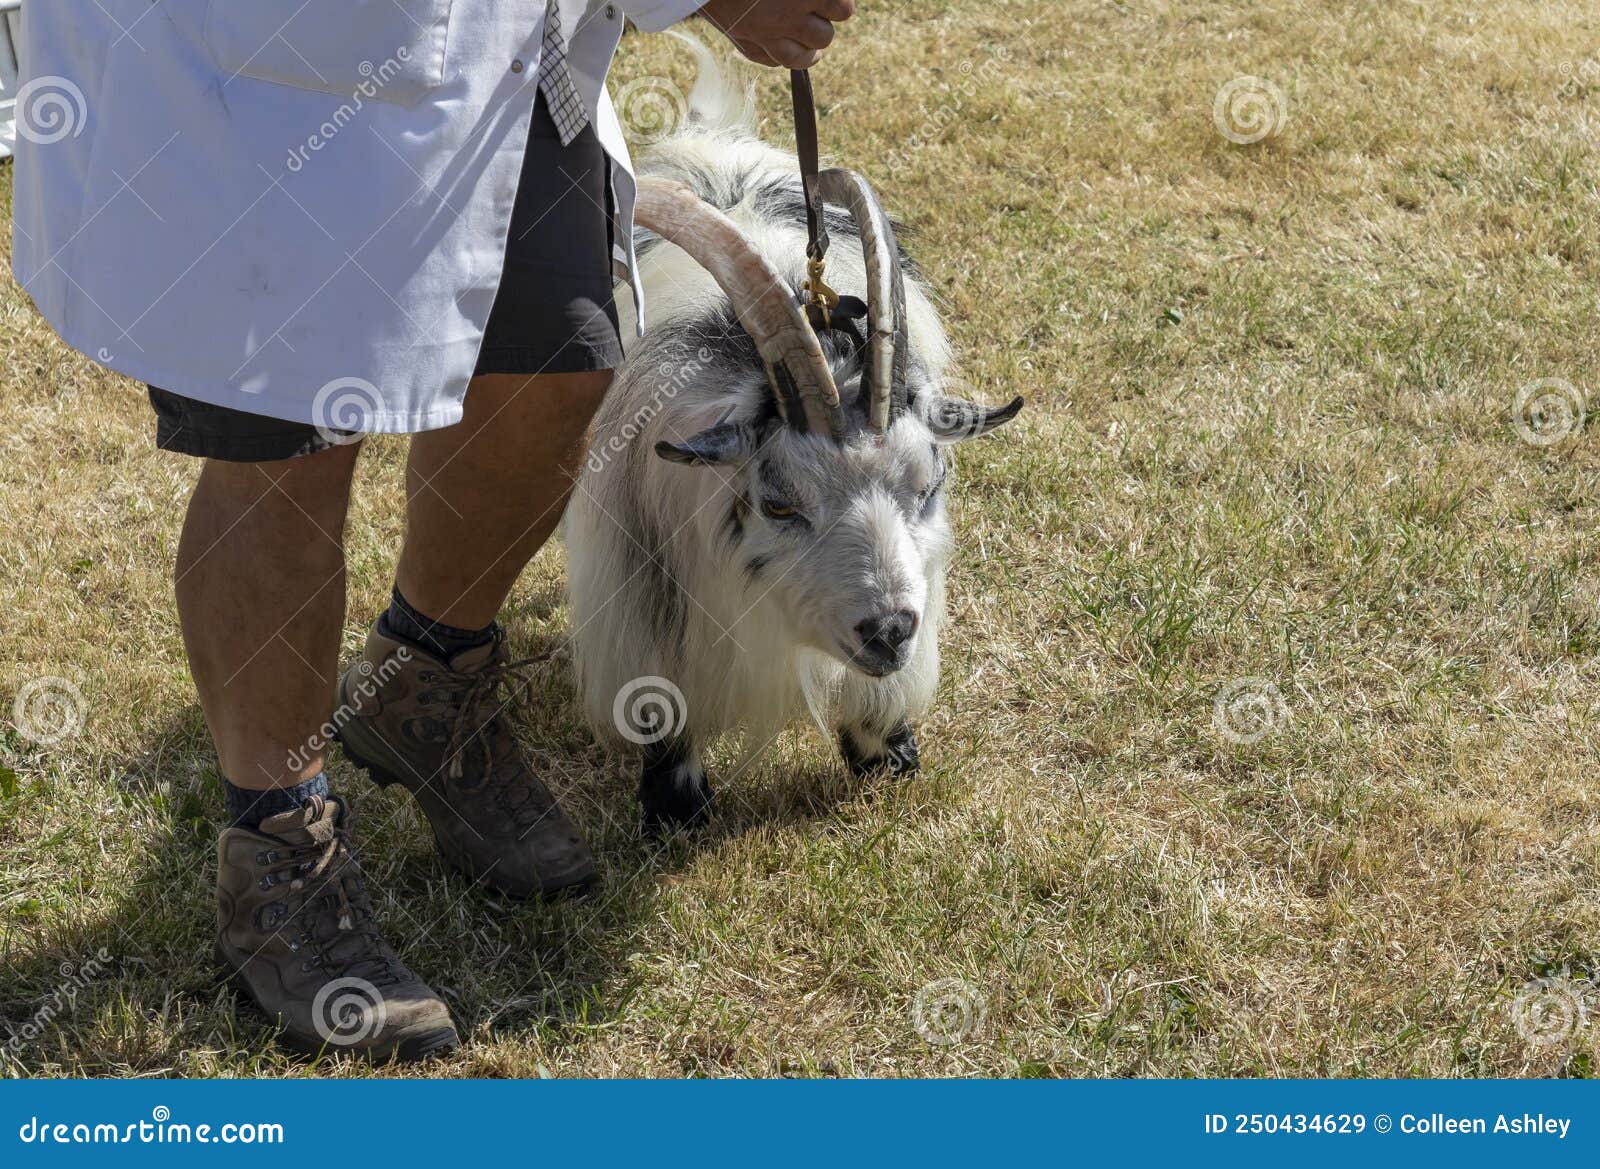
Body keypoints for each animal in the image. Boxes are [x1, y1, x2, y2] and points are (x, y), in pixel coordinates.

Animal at [564, 48, 1022, 829]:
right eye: (779, 504)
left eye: (927, 486)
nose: (888, 628)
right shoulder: (641, 580)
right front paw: (675, 805)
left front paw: (884, 749)